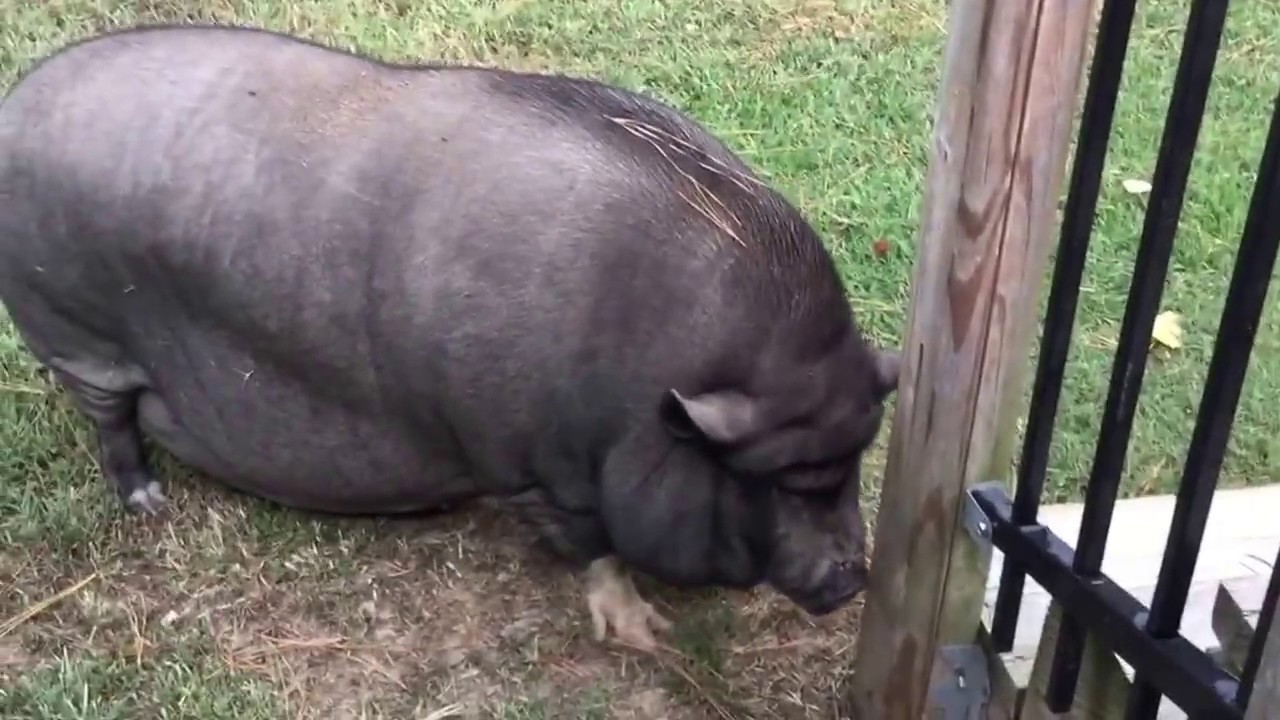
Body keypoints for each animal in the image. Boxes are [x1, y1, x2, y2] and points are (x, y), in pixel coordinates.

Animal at [0, 24, 900, 650]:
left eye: (853, 462)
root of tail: (18, 101)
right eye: (789, 481)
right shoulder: (534, 465)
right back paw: (145, 502)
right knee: (110, 419)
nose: (855, 577)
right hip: (74, 331)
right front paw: (645, 636)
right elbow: (590, 544)